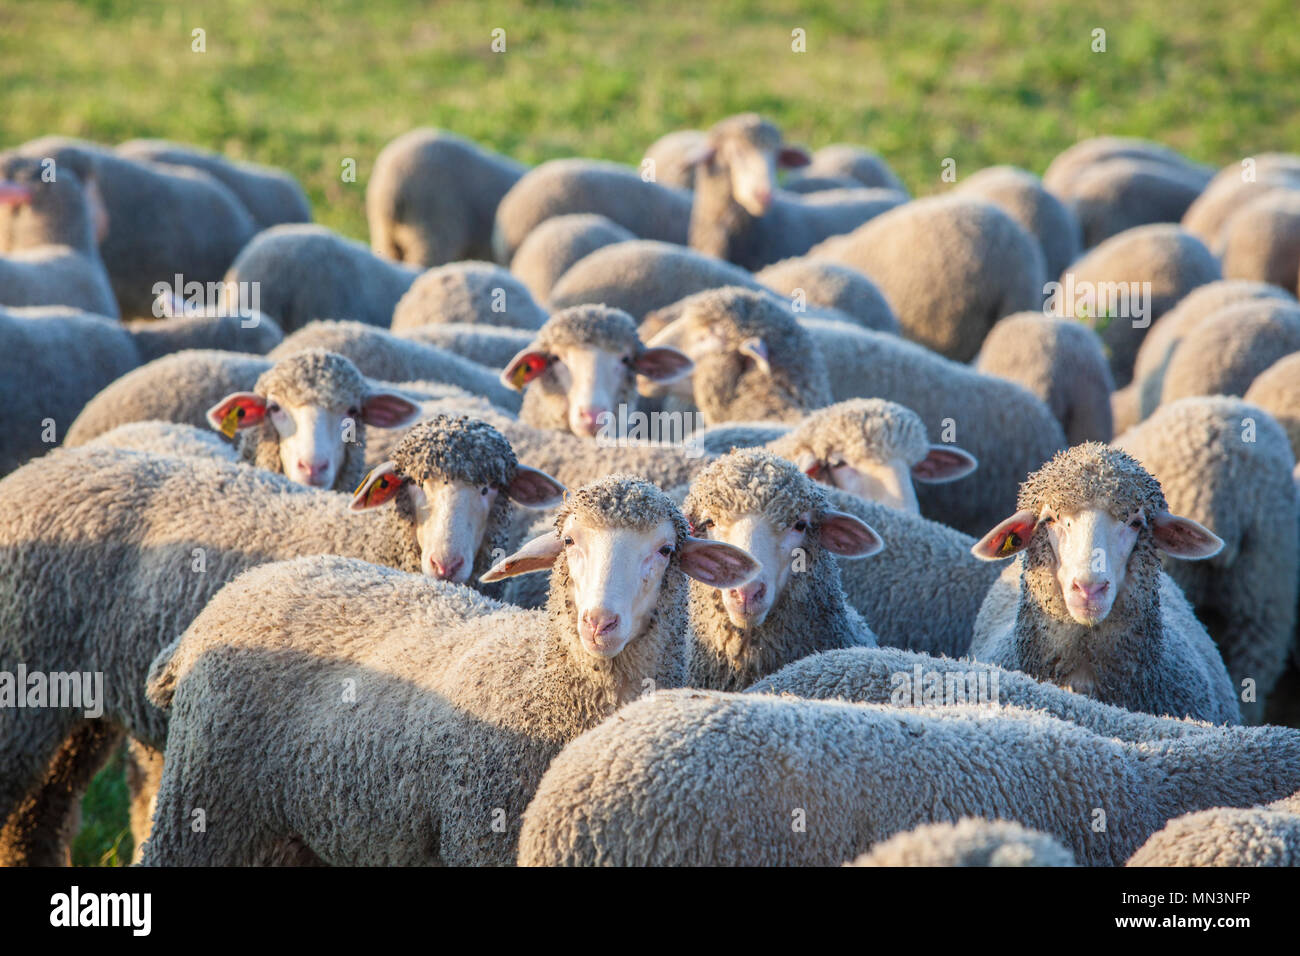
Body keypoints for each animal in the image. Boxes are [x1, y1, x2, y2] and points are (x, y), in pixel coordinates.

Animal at [0, 419, 565, 865]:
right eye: (413, 484)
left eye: (491, 488)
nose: (446, 563)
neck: (369, 540)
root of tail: (37, 468)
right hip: (26, 678)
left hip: (82, 700)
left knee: (41, 813)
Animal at [137, 475, 759, 866]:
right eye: (569, 541)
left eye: (665, 550)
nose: (598, 622)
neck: (542, 686)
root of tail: (226, 598)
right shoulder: (478, 833)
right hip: (205, 805)